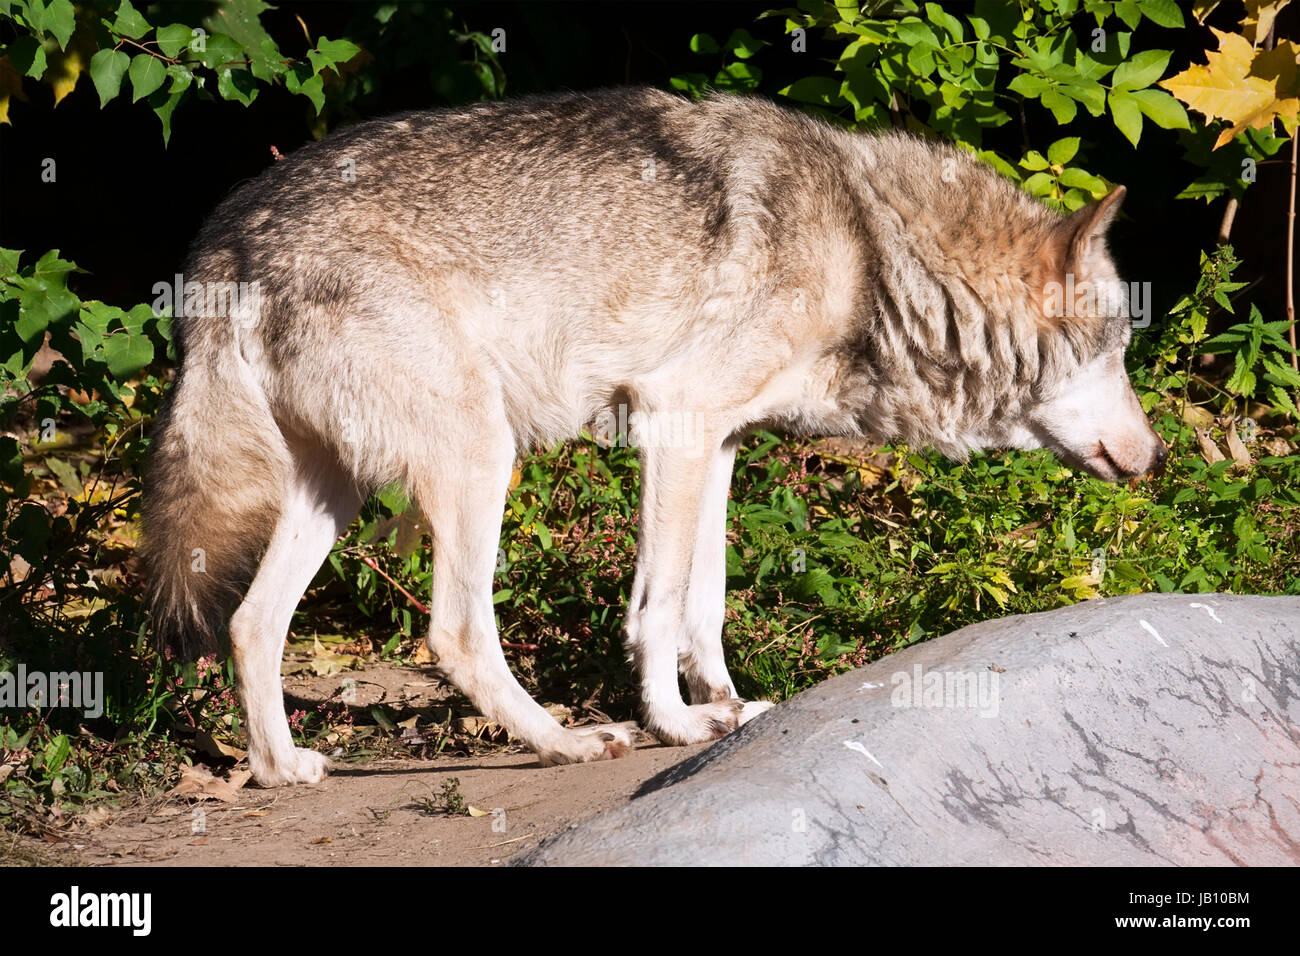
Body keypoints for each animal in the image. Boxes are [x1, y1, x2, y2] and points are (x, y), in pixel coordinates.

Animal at [142, 87, 1166, 786]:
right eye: (1119, 348)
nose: (1157, 457)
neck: (874, 251)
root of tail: (223, 243)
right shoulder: (675, 423)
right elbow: (660, 605)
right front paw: (675, 727)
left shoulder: (718, 443)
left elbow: (705, 606)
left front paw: (731, 708)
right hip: (480, 460)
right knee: (457, 632)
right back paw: (567, 741)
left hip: (338, 491)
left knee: (251, 622)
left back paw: (281, 770)